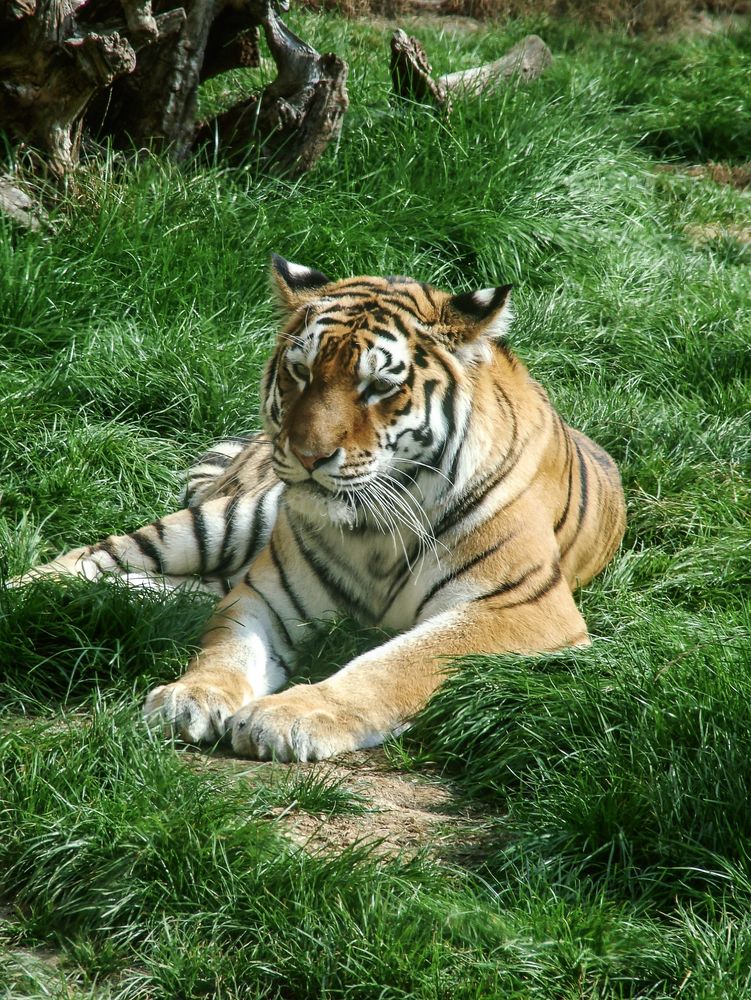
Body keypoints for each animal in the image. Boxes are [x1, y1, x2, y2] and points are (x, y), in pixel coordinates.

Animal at [15, 256, 626, 762]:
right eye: (301, 372)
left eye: (379, 386)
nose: (309, 454)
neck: (375, 525)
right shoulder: (266, 593)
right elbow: (227, 649)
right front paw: (191, 696)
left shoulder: (519, 607)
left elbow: (394, 665)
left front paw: (289, 716)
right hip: (231, 520)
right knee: (94, 555)